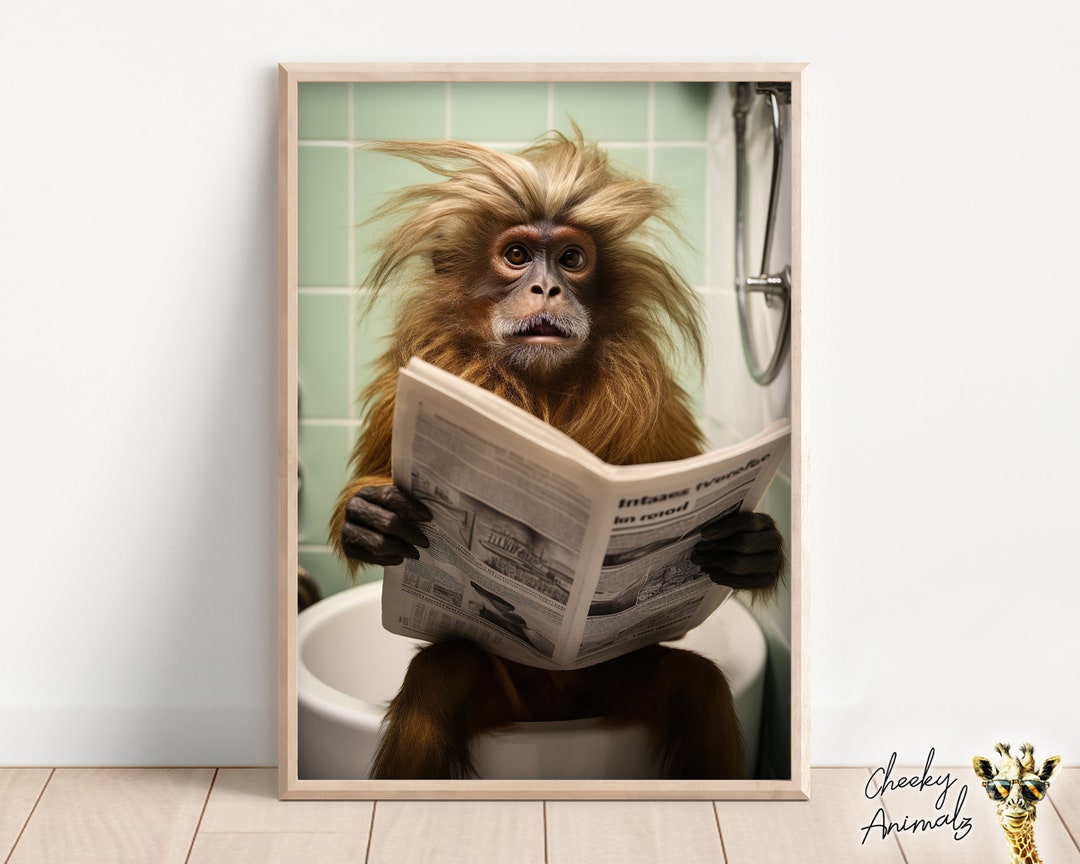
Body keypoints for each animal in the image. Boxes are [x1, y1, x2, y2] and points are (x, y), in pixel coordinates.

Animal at [328, 130, 785, 780]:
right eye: (518, 255)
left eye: (571, 259)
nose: (547, 288)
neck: (539, 389)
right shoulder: (408, 384)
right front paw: (373, 520)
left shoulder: (657, 402)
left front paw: (752, 549)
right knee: (443, 673)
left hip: (606, 684)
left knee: (691, 682)